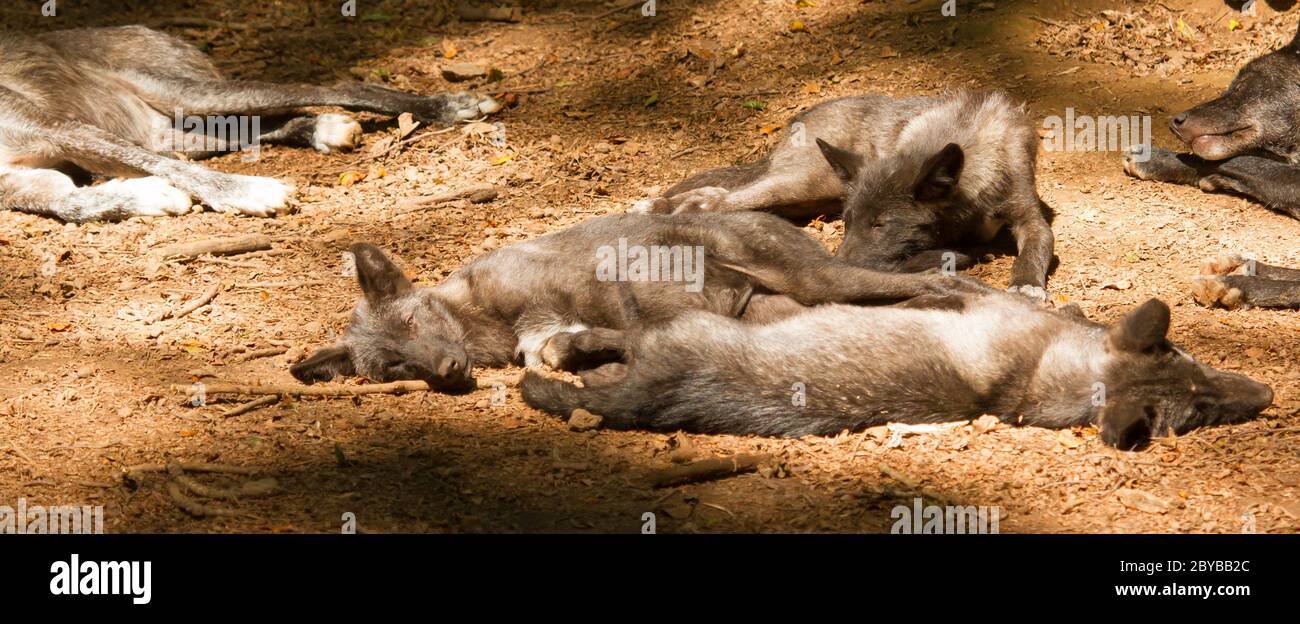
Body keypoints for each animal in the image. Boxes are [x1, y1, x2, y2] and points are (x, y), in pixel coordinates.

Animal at [0, 25, 500, 222]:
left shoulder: (65, 130)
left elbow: (171, 170)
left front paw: (251, 192)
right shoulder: (30, 183)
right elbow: (73, 204)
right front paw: (146, 196)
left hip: (185, 93)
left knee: (334, 84)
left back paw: (450, 105)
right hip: (168, 127)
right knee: (241, 130)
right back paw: (323, 130)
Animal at [290, 211, 987, 392]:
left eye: (413, 321)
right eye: (394, 366)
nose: (448, 370)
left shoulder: (604, 280)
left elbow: (631, 328)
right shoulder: (547, 335)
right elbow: (565, 346)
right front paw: (590, 354)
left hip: (815, 280)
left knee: (943, 285)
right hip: (800, 308)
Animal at [634, 91, 1056, 297]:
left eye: (881, 224)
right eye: (848, 222)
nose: (840, 265)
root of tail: (800, 116)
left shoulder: (1029, 216)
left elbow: (1037, 247)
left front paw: (1027, 284)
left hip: (806, 197)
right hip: (804, 184)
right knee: (722, 195)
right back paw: (661, 207)